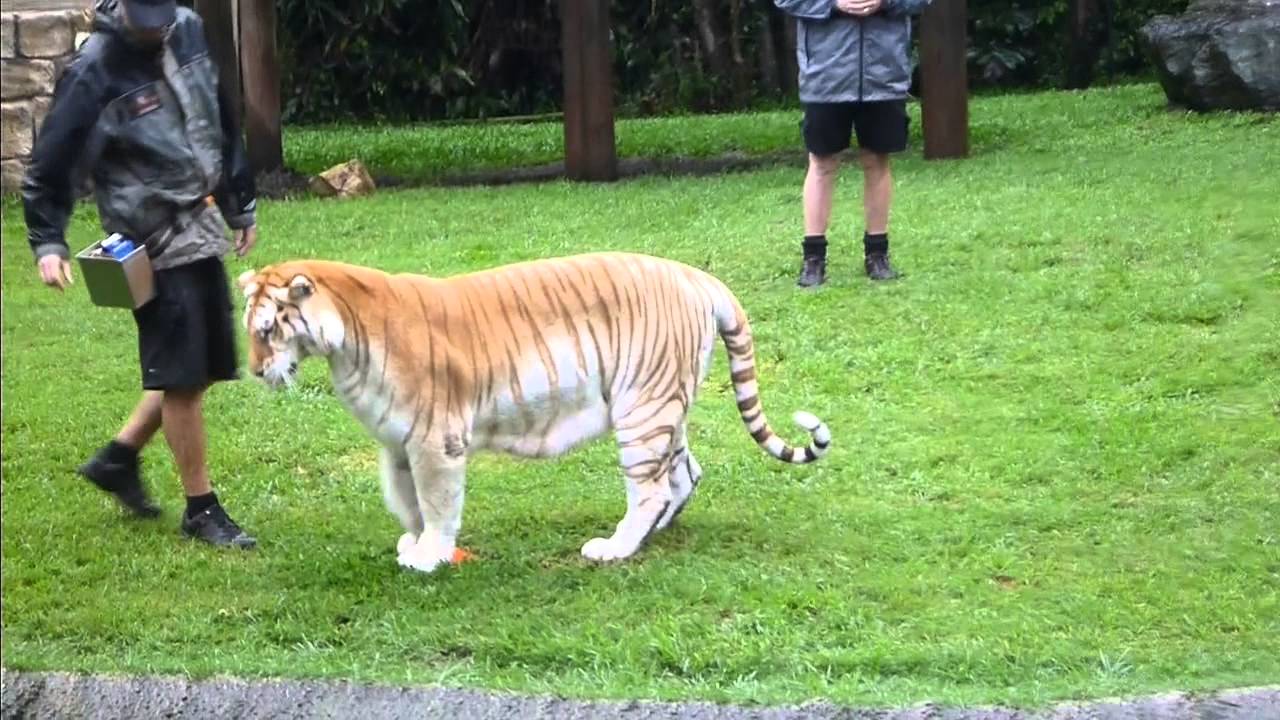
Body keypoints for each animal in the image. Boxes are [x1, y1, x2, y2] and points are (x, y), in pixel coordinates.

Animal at [237, 251, 831, 573]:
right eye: (249, 330)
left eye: (267, 329)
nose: (255, 371)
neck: (346, 341)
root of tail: (697, 277)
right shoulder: (396, 442)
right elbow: (405, 502)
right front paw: (414, 543)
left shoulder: (434, 440)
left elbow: (436, 503)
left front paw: (430, 556)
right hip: (664, 406)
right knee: (684, 475)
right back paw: (649, 536)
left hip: (642, 410)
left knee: (652, 488)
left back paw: (615, 548)